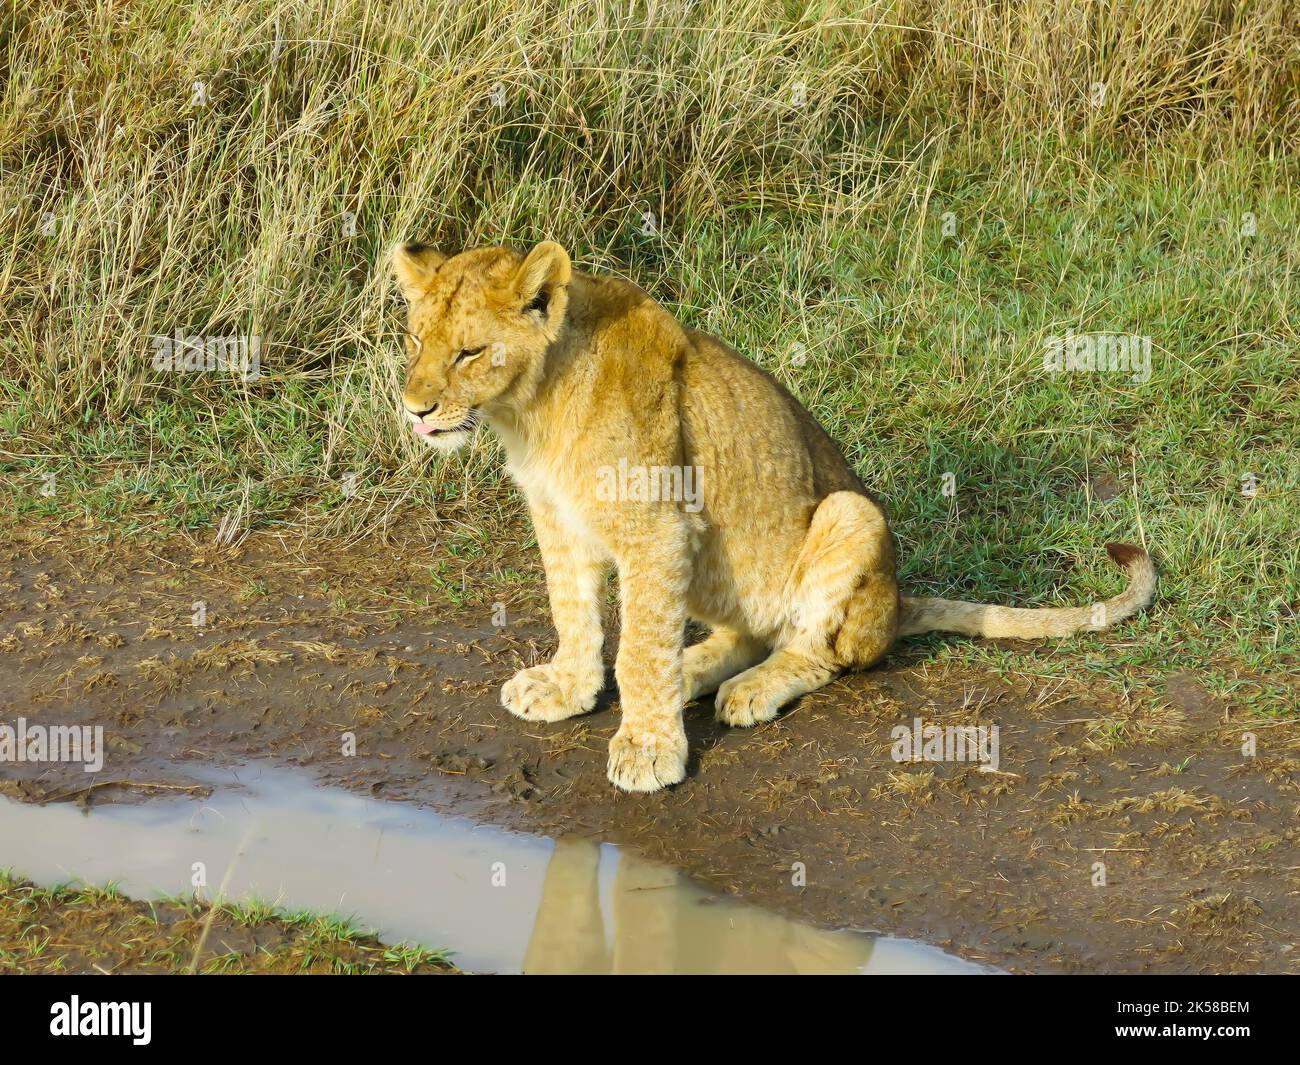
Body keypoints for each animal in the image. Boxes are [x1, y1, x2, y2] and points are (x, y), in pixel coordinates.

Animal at [392, 240, 1156, 793]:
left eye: (468, 351)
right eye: (415, 341)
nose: (415, 410)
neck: (531, 410)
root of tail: (899, 603)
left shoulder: (655, 527)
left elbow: (638, 646)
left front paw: (647, 749)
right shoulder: (559, 519)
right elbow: (573, 613)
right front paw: (569, 689)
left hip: (850, 515)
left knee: (816, 653)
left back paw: (745, 689)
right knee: (744, 632)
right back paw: (692, 670)